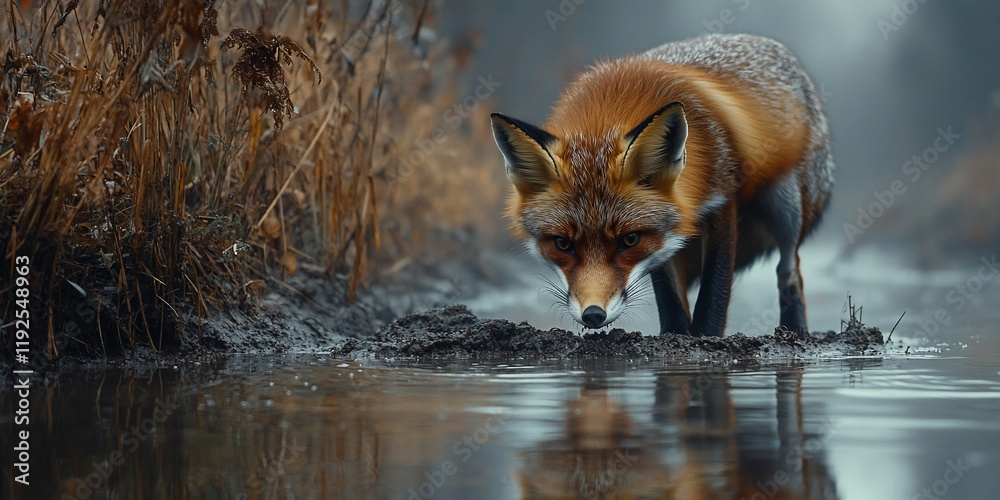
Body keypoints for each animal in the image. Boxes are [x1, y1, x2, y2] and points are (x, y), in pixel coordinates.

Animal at [490, 34, 833, 337]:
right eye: (562, 244)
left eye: (629, 240)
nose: (593, 315)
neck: (612, 105)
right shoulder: (666, 234)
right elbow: (671, 298)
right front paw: (674, 335)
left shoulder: (722, 201)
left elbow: (714, 288)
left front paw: (705, 336)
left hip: (785, 205)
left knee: (789, 269)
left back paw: (795, 331)